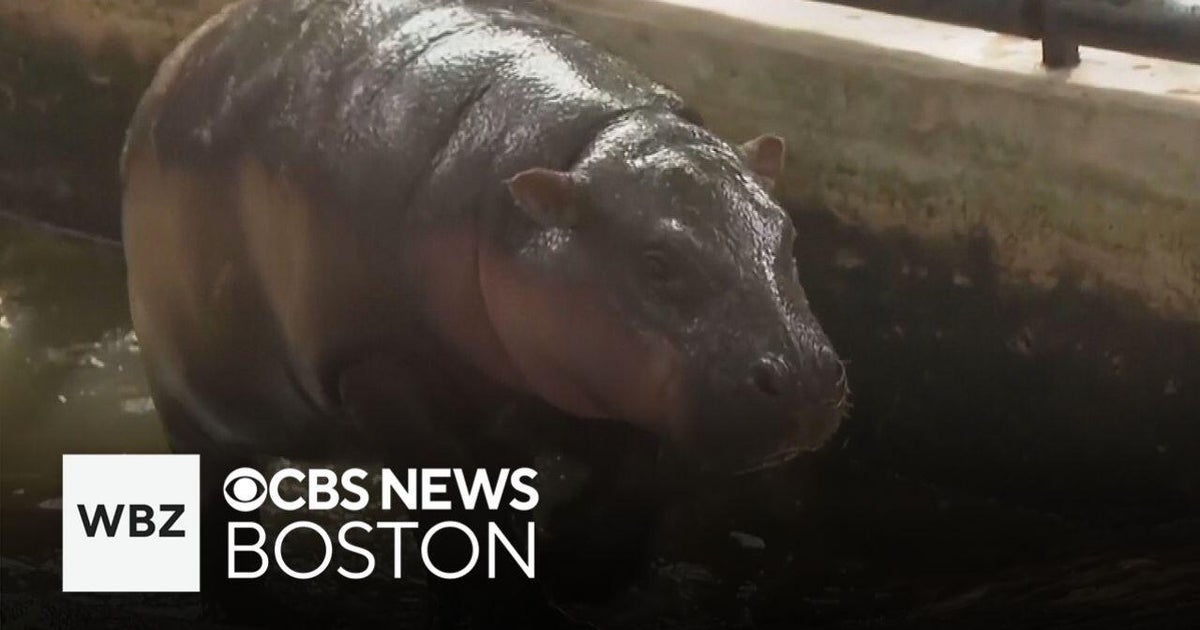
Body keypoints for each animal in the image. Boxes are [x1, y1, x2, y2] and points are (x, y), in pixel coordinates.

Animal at [121, 0, 847, 625]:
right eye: (657, 262)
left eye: (786, 231)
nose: (808, 378)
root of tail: (178, 57)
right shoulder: (375, 366)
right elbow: (454, 502)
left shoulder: (599, 381)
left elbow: (633, 481)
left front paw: (581, 573)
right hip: (190, 405)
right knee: (212, 506)